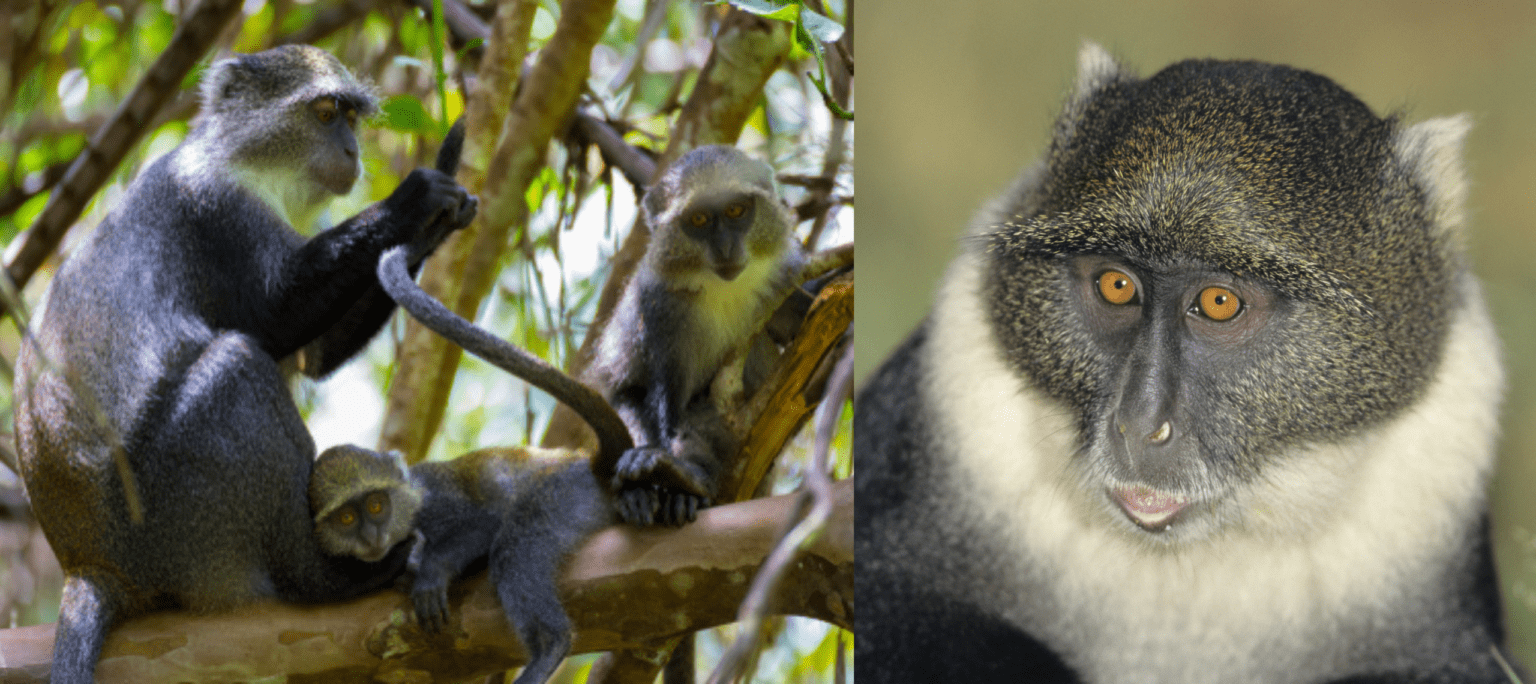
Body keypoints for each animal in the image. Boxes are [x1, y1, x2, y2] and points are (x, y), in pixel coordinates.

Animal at [12, 45, 476, 683]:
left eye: (351, 119)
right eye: (326, 112)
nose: (352, 152)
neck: (244, 161)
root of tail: (88, 568)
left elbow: (311, 354)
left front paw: (441, 220)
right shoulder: (215, 206)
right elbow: (274, 315)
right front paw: (416, 199)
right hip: (174, 527)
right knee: (236, 365)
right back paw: (329, 580)